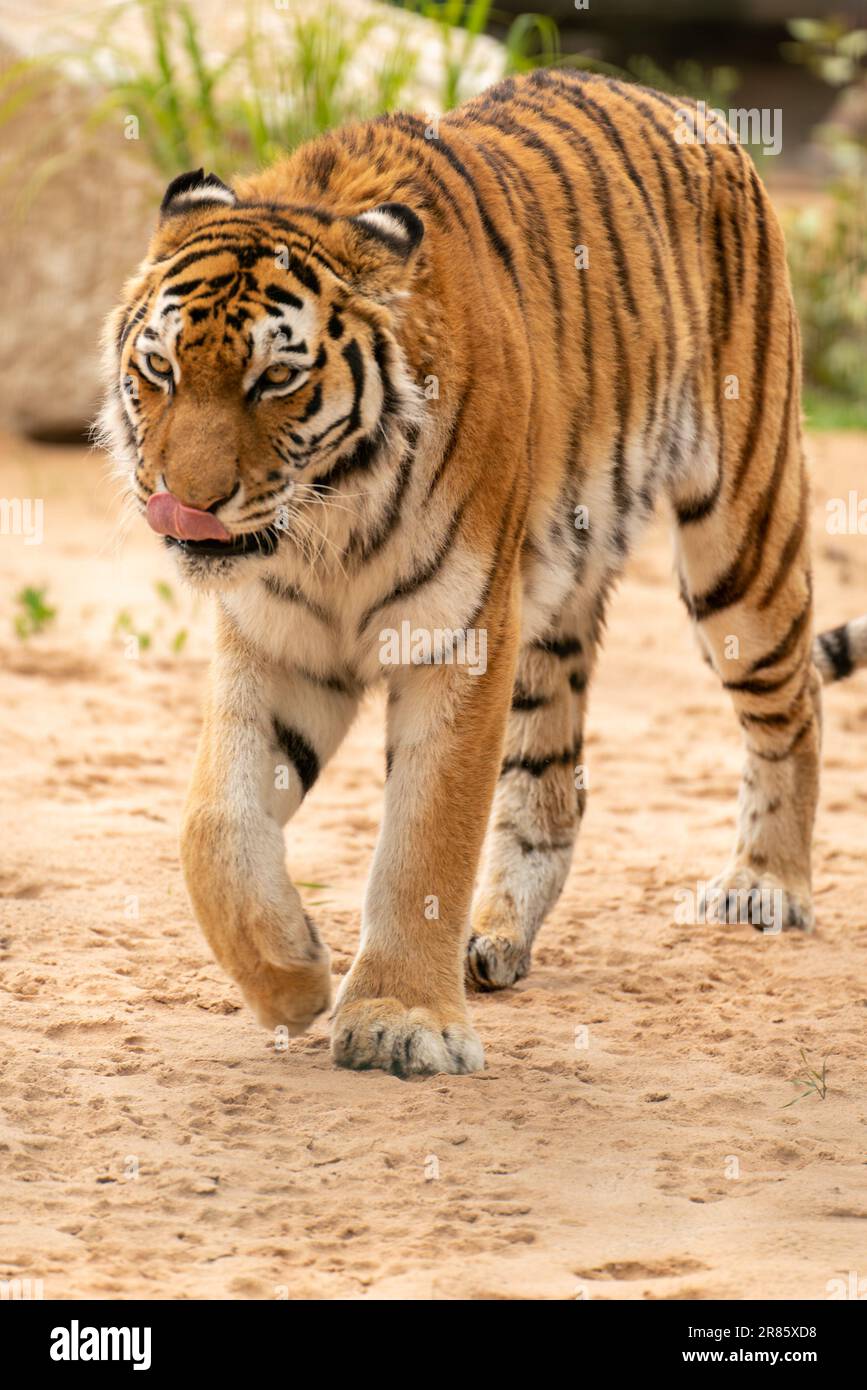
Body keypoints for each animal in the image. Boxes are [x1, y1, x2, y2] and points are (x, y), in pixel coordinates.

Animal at [99, 67, 867, 1077]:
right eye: (159, 368)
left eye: (275, 380)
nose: (184, 502)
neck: (325, 524)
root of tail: (688, 106)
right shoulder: (278, 641)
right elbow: (215, 827)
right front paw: (292, 976)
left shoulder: (456, 636)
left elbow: (426, 840)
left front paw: (401, 1021)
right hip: (548, 602)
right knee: (554, 778)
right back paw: (491, 937)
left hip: (739, 535)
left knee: (792, 703)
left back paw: (764, 886)